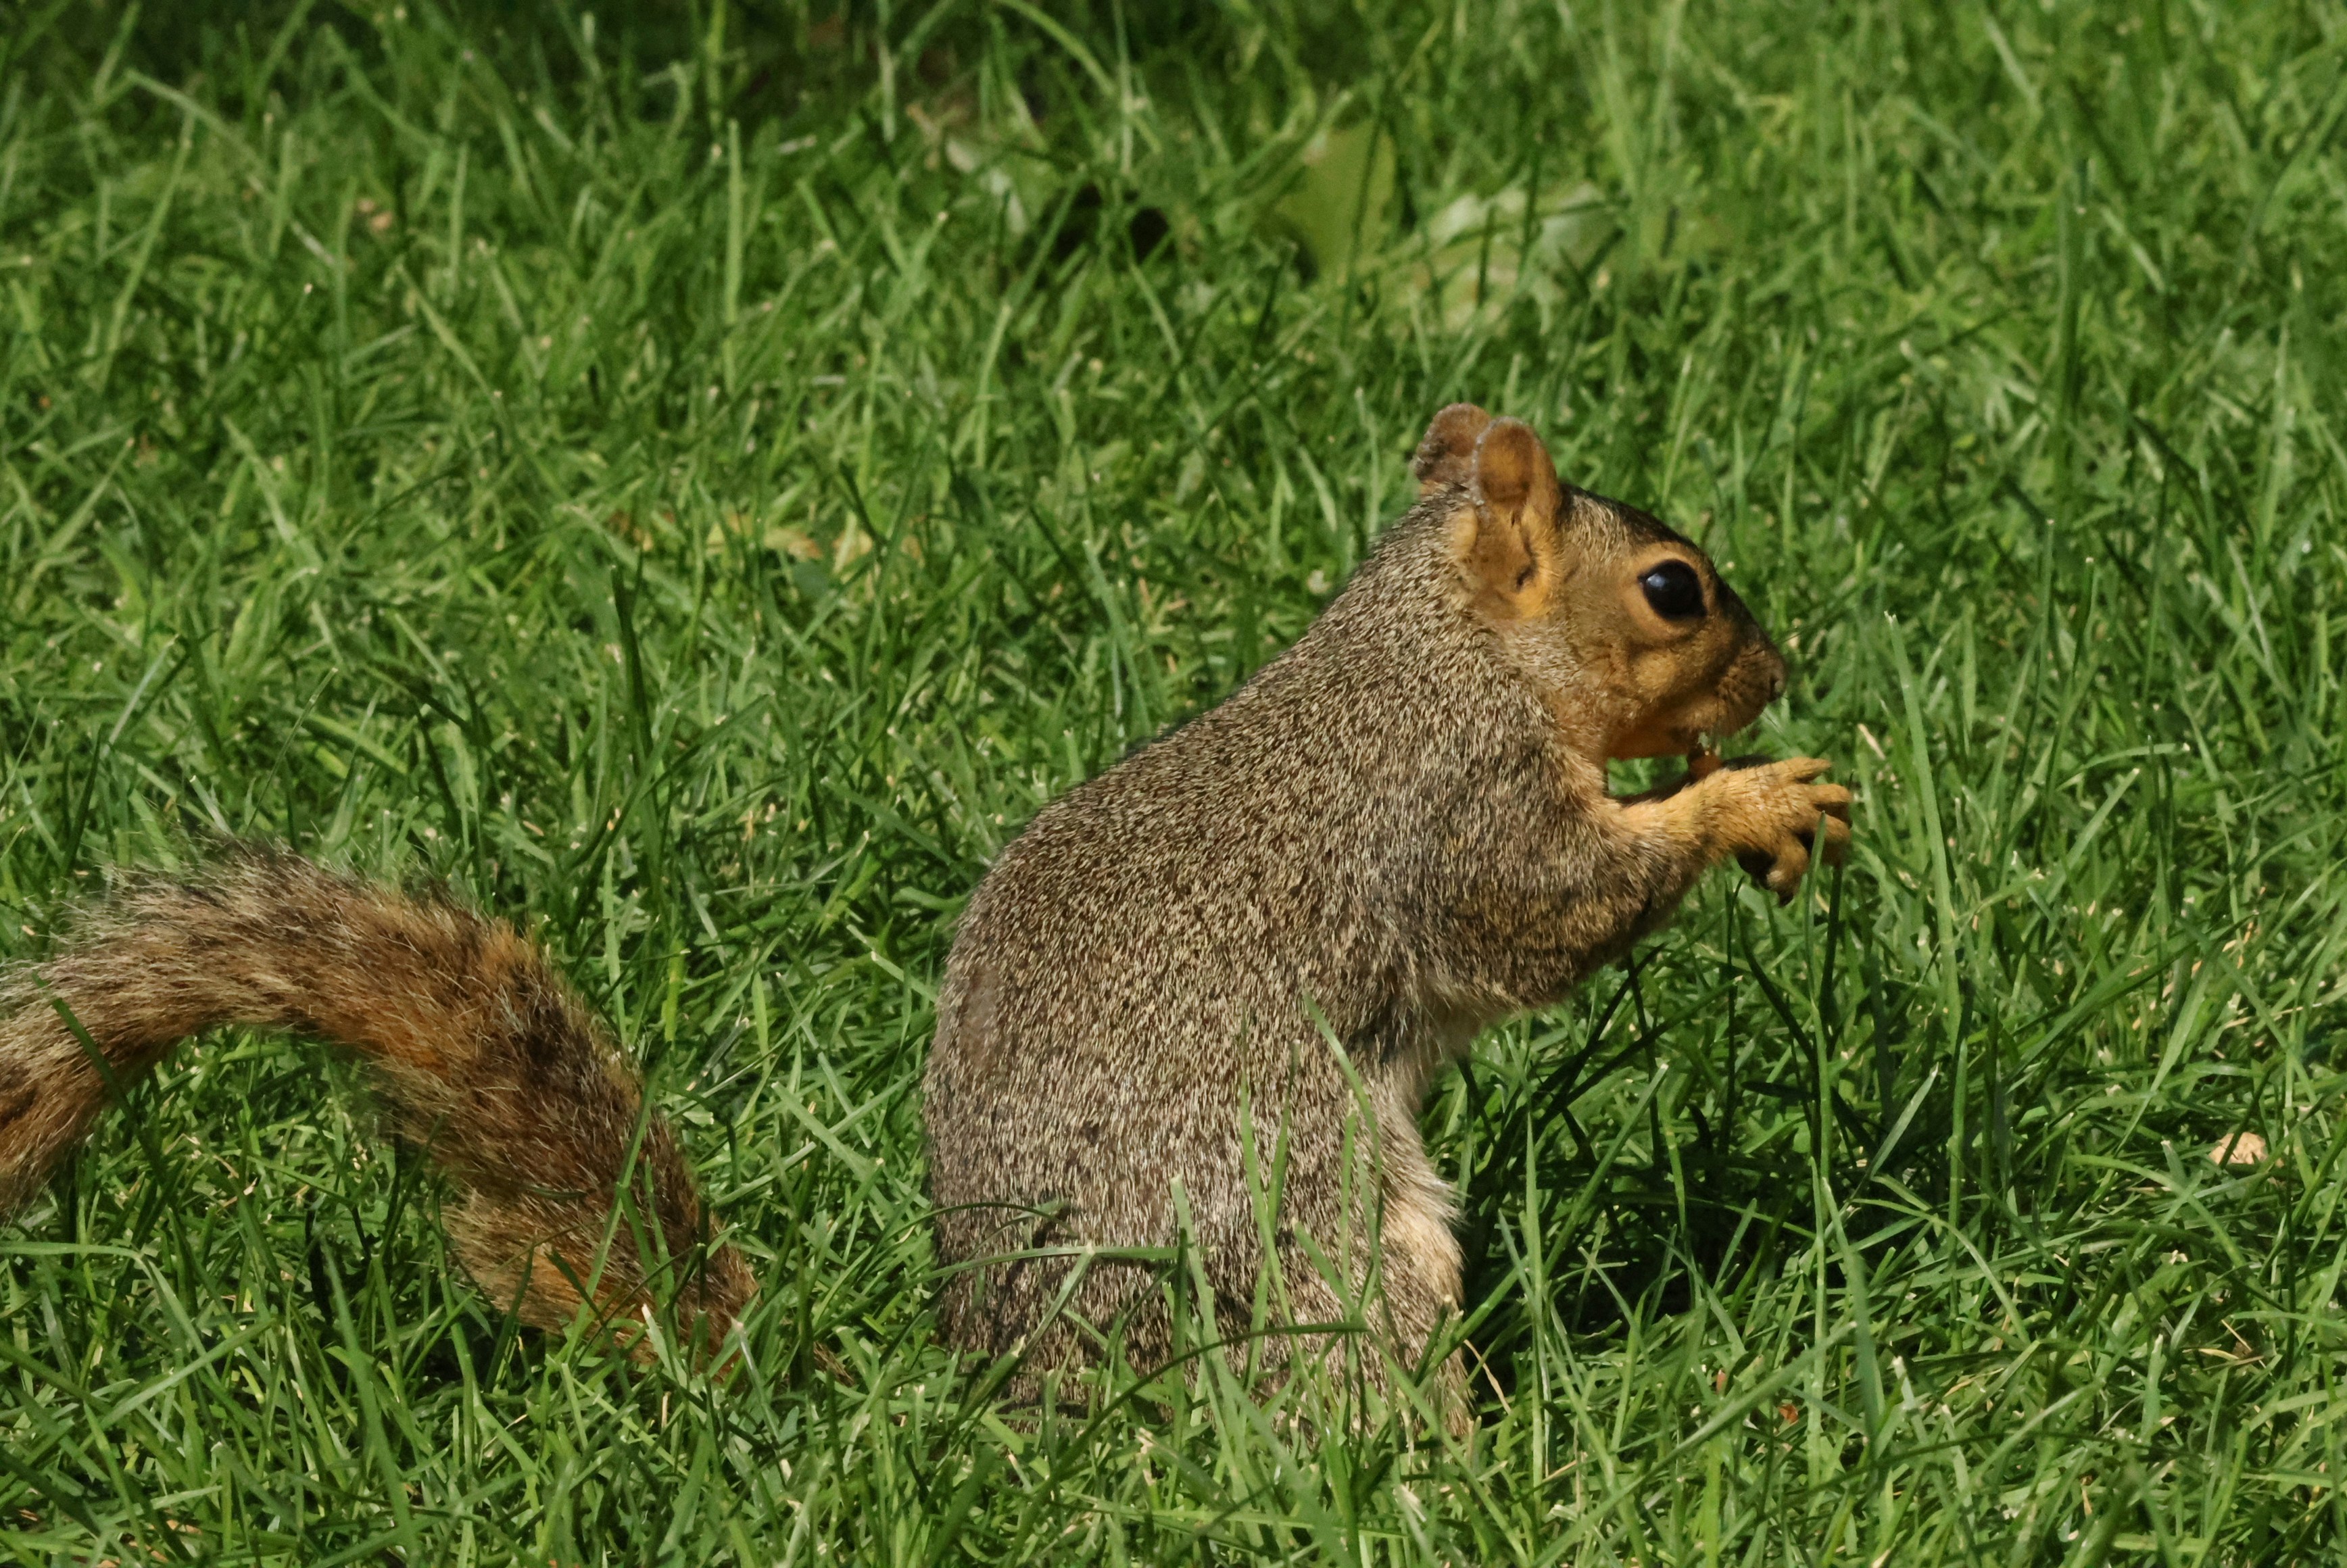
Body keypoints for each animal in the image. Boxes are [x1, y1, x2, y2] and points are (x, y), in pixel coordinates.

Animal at [924, 404, 1849, 1412]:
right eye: (1672, 589)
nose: (1776, 676)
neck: (1449, 653)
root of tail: (1039, 1374)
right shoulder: (1469, 808)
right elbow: (1557, 910)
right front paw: (1751, 801)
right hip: (1316, 1238)